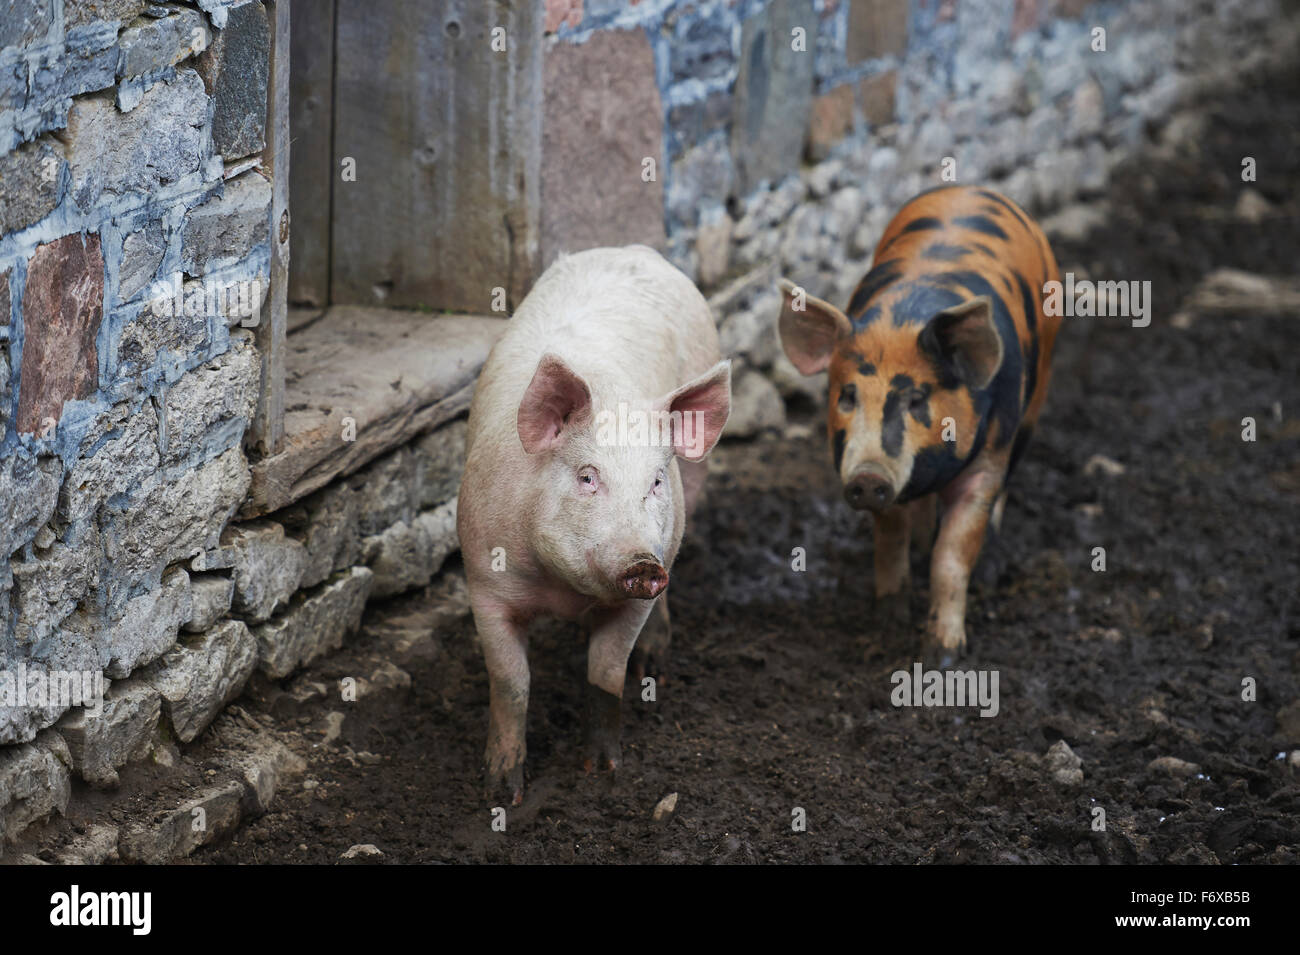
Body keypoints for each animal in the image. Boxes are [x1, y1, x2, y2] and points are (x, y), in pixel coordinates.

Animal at [457, 245, 731, 805]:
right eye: (587, 477)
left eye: (654, 481)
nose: (641, 561)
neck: (562, 594)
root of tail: (635, 251)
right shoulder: (484, 582)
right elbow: (511, 683)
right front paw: (502, 791)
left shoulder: (633, 602)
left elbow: (606, 674)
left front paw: (602, 772)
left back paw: (655, 661)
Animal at [777, 185, 1061, 665]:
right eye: (847, 395)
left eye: (916, 399)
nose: (868, 475)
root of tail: (972, 187)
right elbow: (891, 537)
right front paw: (889, 618)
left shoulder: (986, 460)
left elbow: (952, 556)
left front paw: (942, 654)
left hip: (1037, 397)